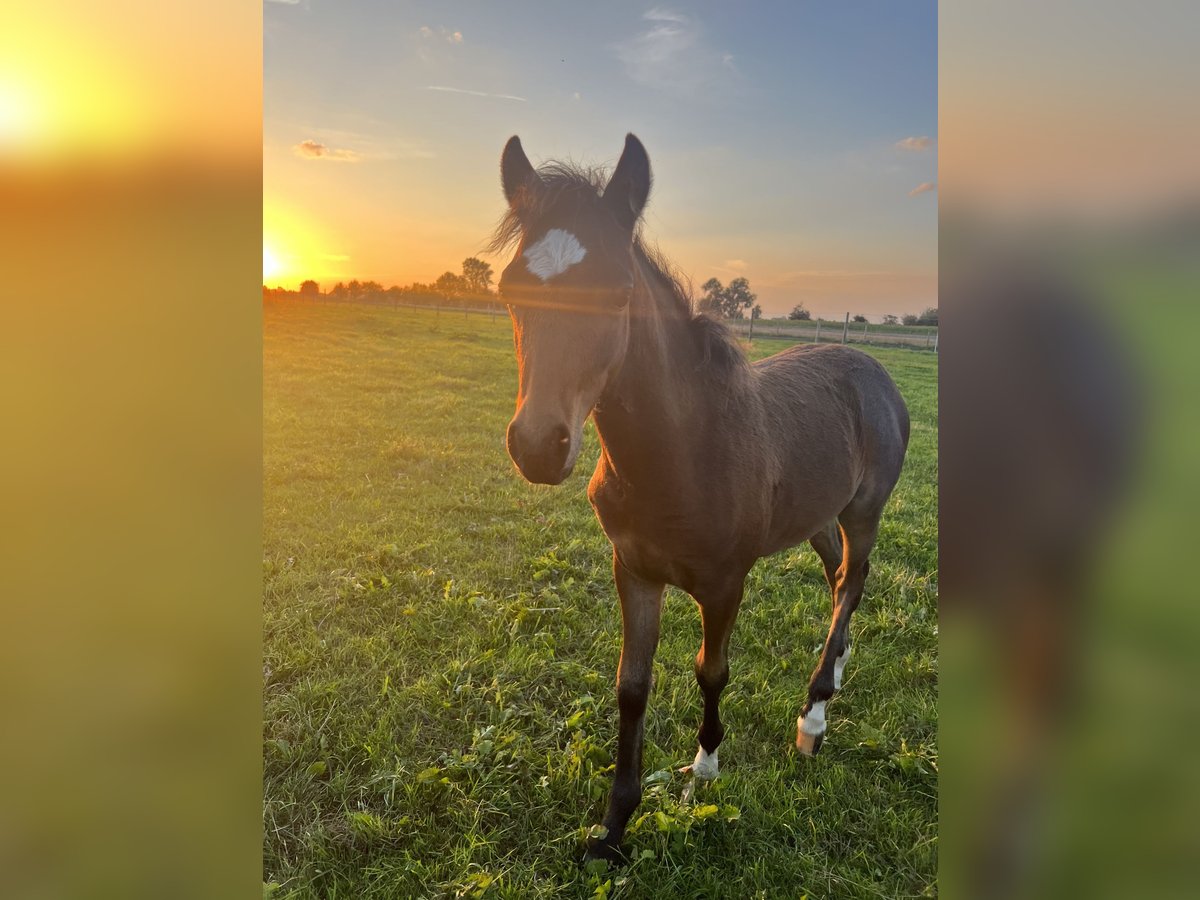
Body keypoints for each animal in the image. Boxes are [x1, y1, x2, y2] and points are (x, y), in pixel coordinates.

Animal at [490, 133, 910, 861]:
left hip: (865, 510)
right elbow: (632, 686)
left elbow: (710, 670)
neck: (678, 455)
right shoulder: (633, 570)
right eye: (511, 289)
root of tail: (874, 368)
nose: (539, 446)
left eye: (619, 292)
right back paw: (838, 665)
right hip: (817, 515)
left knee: (854, 578)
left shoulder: (724, 583)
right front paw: (613, 828)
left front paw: (705, 766)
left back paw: (814, 716)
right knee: (838, 580)